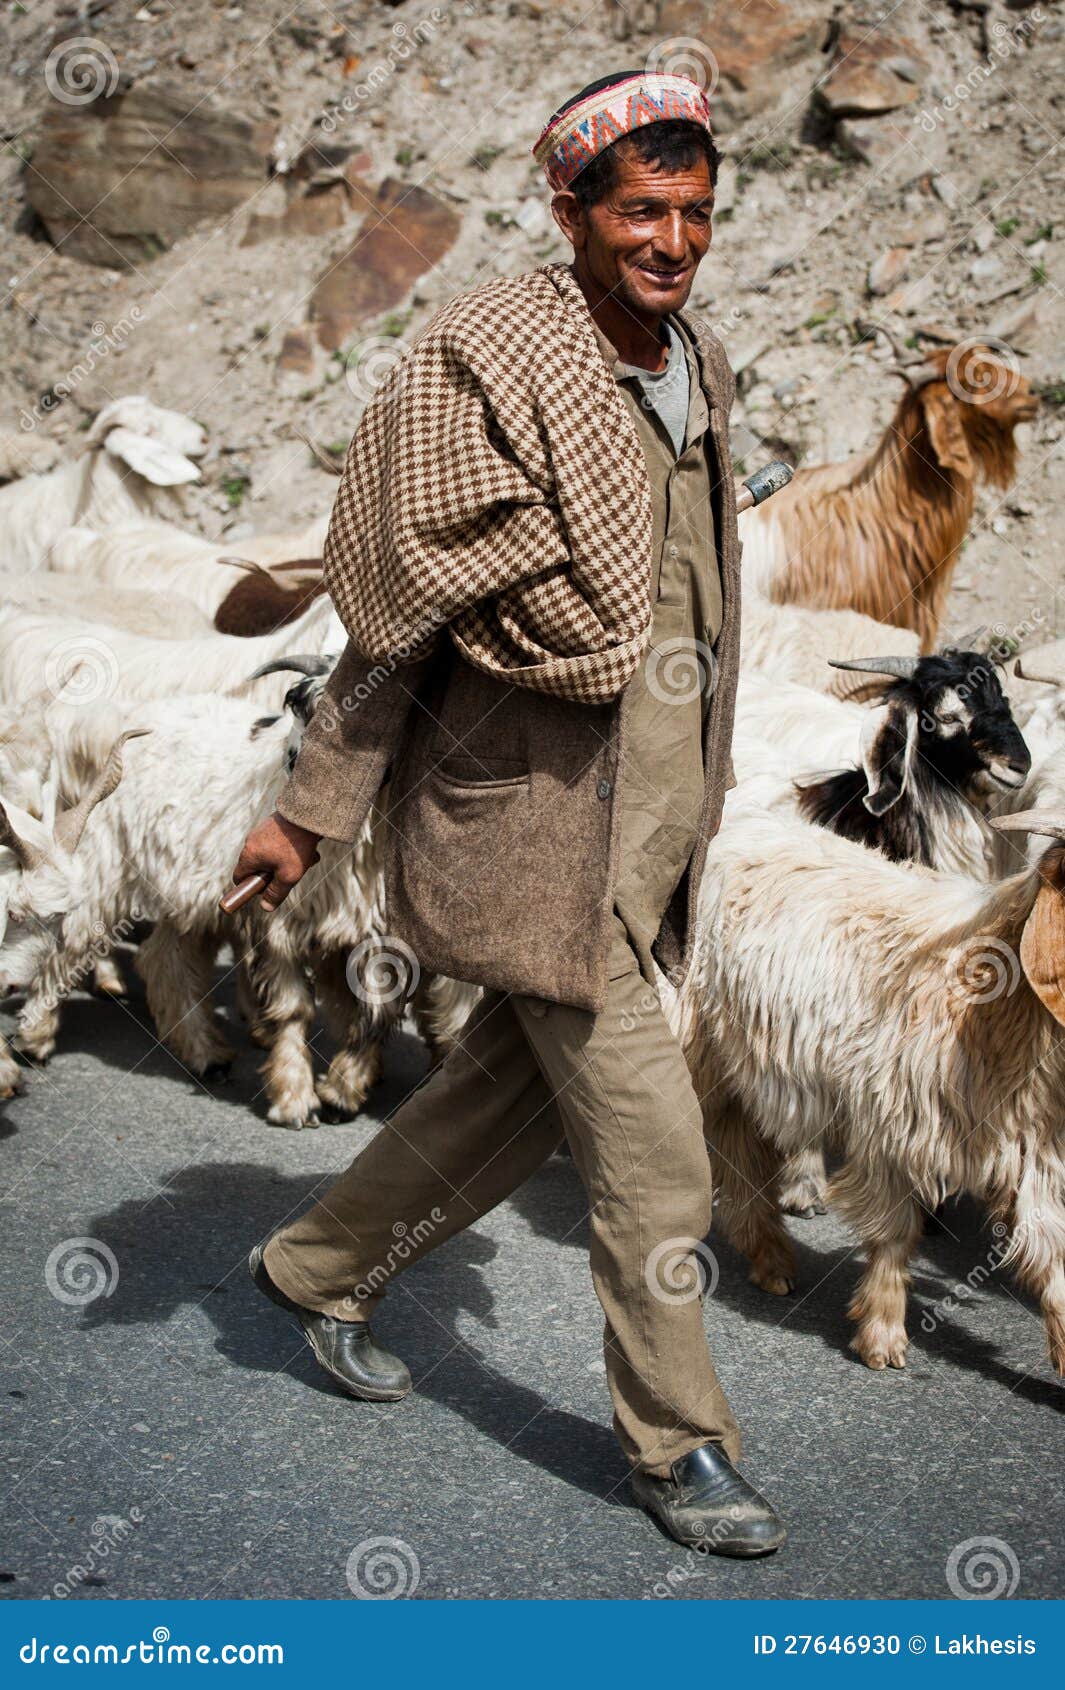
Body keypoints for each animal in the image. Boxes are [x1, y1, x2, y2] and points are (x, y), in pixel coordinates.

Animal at [679, 785, 1065, 1376]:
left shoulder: (1033, 1147)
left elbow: (1052, 1250)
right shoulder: (893, 1125)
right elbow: (894, 1233)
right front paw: (882, 1335)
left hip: (740, 1057)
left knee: (738, 1147)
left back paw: (769, 1258)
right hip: (698, 1040)